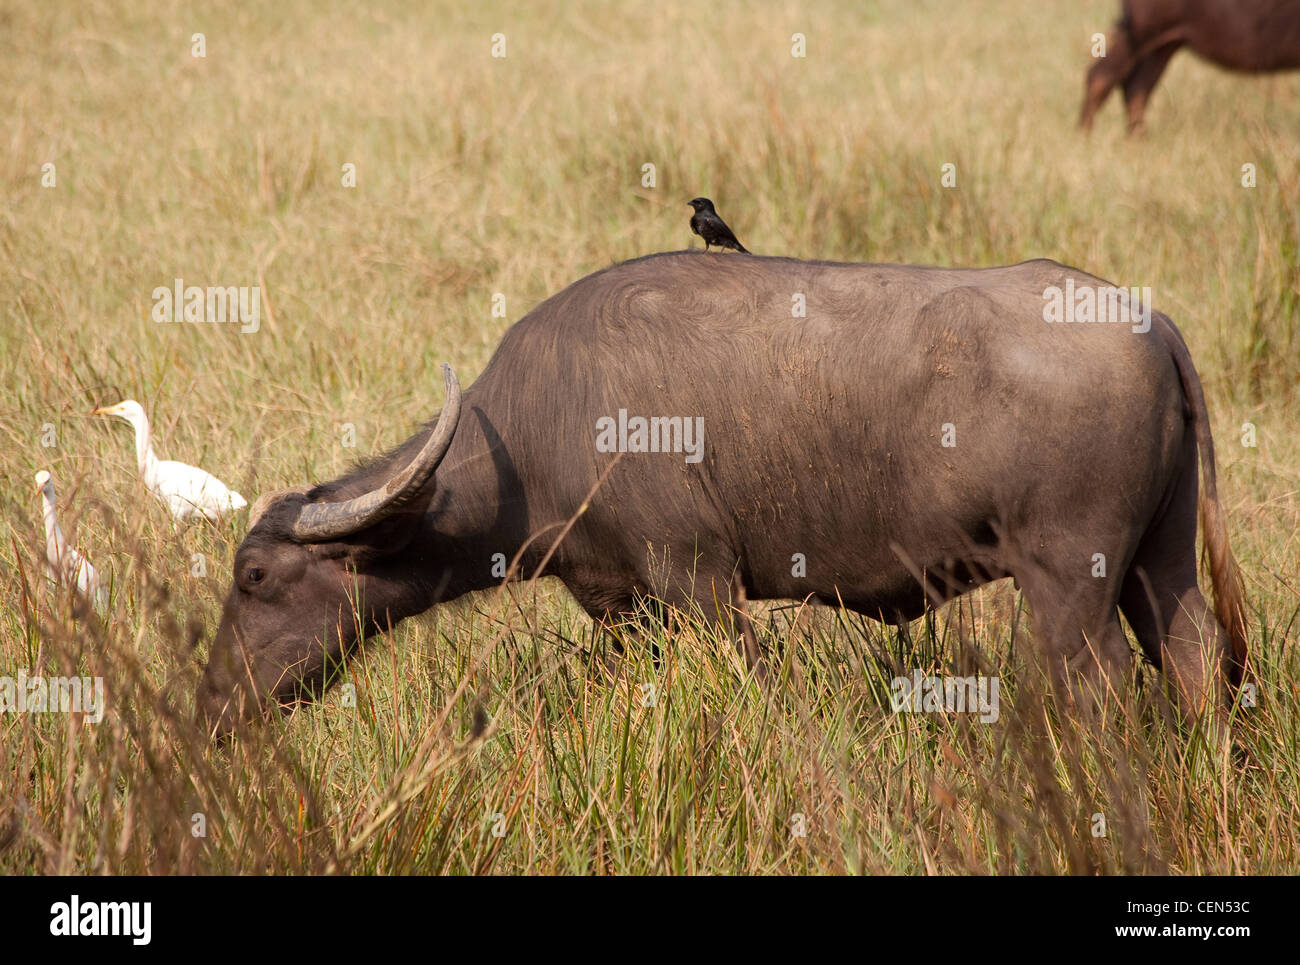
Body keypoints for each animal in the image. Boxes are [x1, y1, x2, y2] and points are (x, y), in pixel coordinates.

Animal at [197, 253, 1248, 739]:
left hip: (1071, 581)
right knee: (1194, 659)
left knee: (1100, 687)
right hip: (1157, 564)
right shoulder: (623, 605)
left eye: (255, 578)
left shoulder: (698, 583)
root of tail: (1150, 323)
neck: (533, 432)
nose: (212, 704)